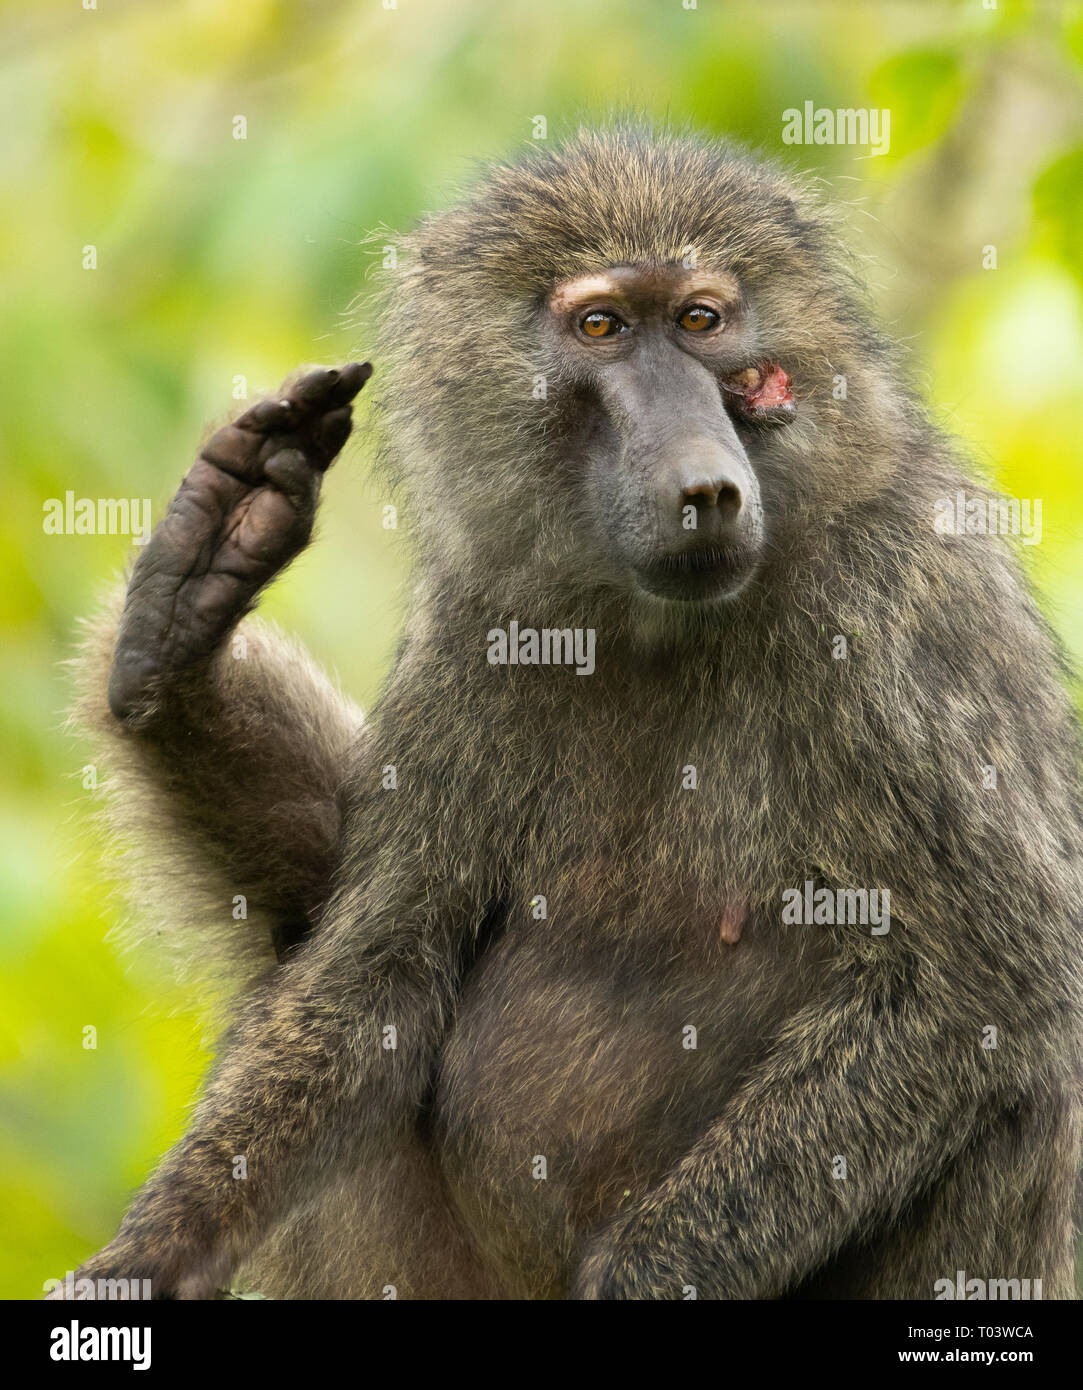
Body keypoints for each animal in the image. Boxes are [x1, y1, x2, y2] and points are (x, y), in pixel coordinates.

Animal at [58, 126, 1081, 1300]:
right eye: (602, 327)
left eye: (701, 320)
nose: (704, 485)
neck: (655, 621)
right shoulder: (475, 620)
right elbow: (378, 970)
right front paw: (152, 1251)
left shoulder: (900, 602)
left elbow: (990, 981)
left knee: (1031, 1077)